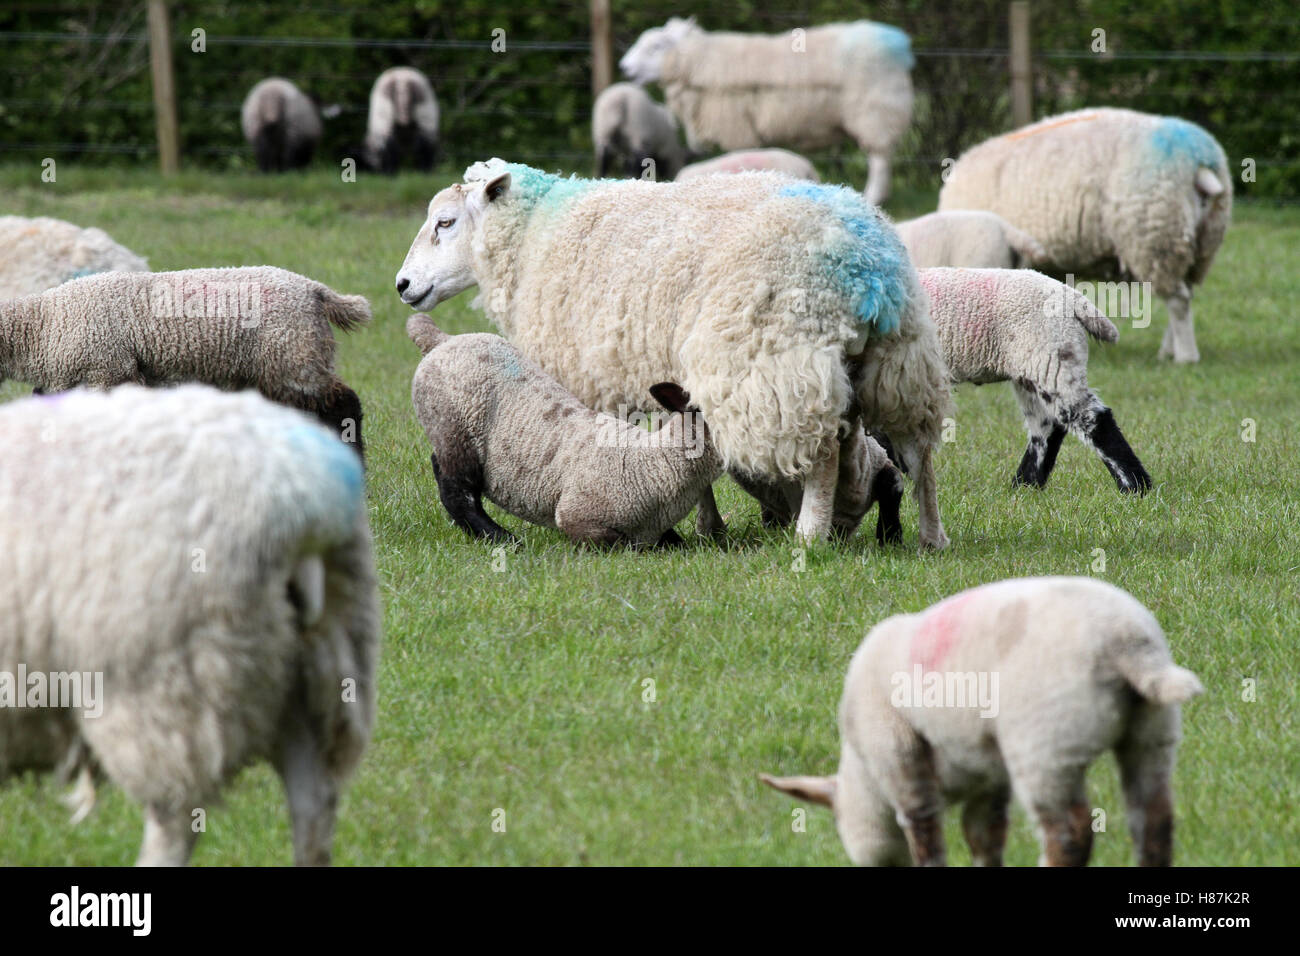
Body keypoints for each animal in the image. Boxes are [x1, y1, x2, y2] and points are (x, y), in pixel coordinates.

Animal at [408, 314, 722, 546]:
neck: (655, 464)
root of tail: (441, 340)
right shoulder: (578, 516)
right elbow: (620, 544)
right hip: (453, 427)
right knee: (455, 488)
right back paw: (503, 539)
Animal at [619, 17, 914, 205]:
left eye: (656, 46)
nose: (624, 68)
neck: (700, 64)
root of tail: (896, 45)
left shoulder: (737, 127)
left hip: (874, 111)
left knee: (879, 159)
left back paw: (874, 196)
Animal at [762, 576, 1203, 866]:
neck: (863, 770)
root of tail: (1127, 644)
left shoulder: (898, 755)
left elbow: (925, 833)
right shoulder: (989, 781)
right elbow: (984, 837)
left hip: (1044, 744)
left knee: (1069, 833)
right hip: (1152, 734)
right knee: (1155, 821)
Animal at [920, 266, 1151, 493]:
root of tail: (1071, 296)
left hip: (1051, 358)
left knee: (1092, 417)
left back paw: (1135, 486)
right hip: (1033, 369)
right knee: (1046, 426)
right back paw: (1025, 485)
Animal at [938, 108, 1232, 363]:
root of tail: (1199, 157)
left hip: (1154, 235)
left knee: (1178, 301)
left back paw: (1185, 357)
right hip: (1198, 243)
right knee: (1184, 294)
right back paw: (1167, 351)